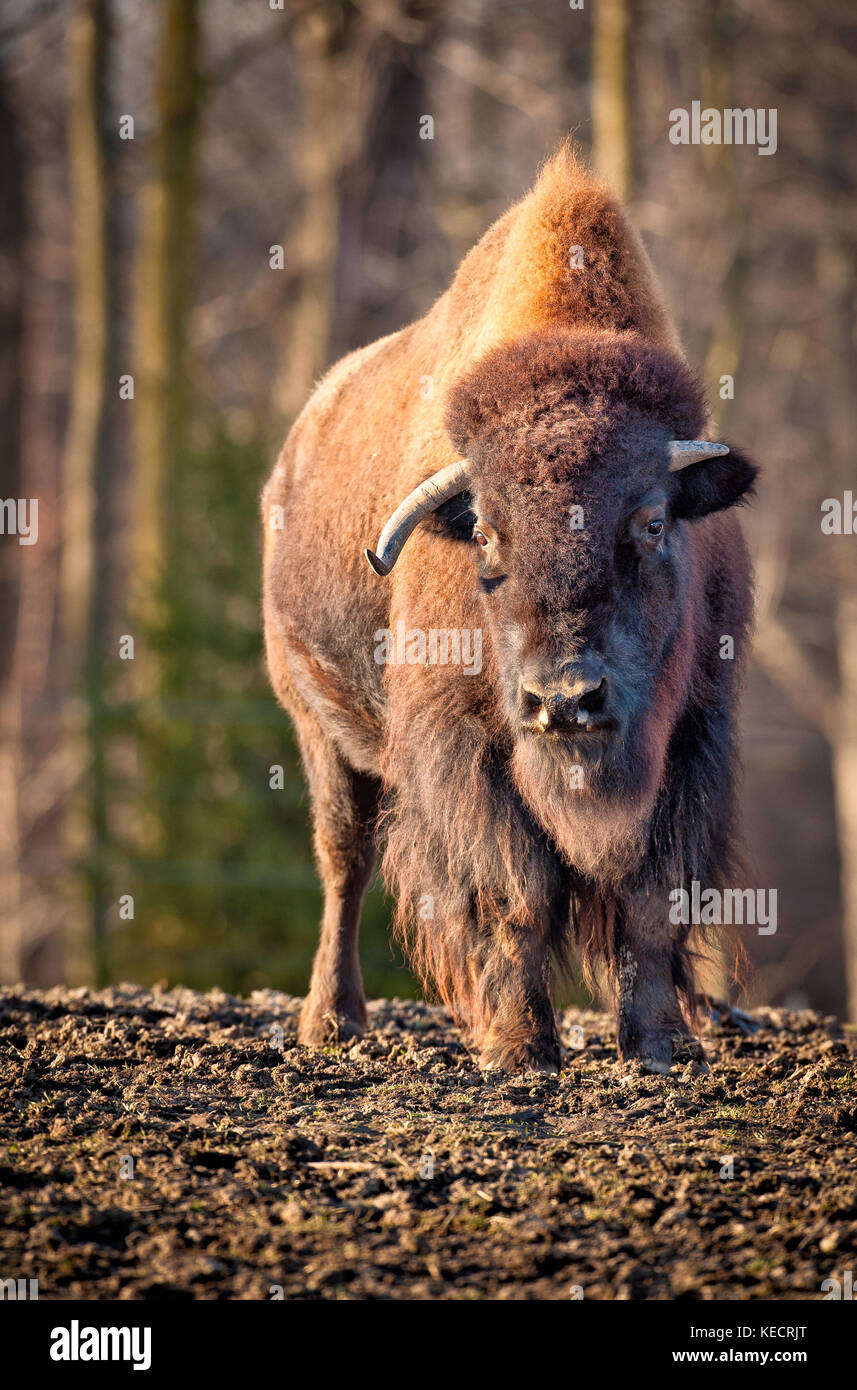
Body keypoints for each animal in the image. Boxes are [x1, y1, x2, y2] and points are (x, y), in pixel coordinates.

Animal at [262, 144, 757, 1075]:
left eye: (652, 520)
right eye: (486, 532)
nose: (565, 700)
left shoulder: (691, 736)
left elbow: (651, 895)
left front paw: (661, 1044)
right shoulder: (466, 745)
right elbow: (514, 890)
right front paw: (521, 1046)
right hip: (319, 729)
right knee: (345, 861)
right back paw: (332, 1022)